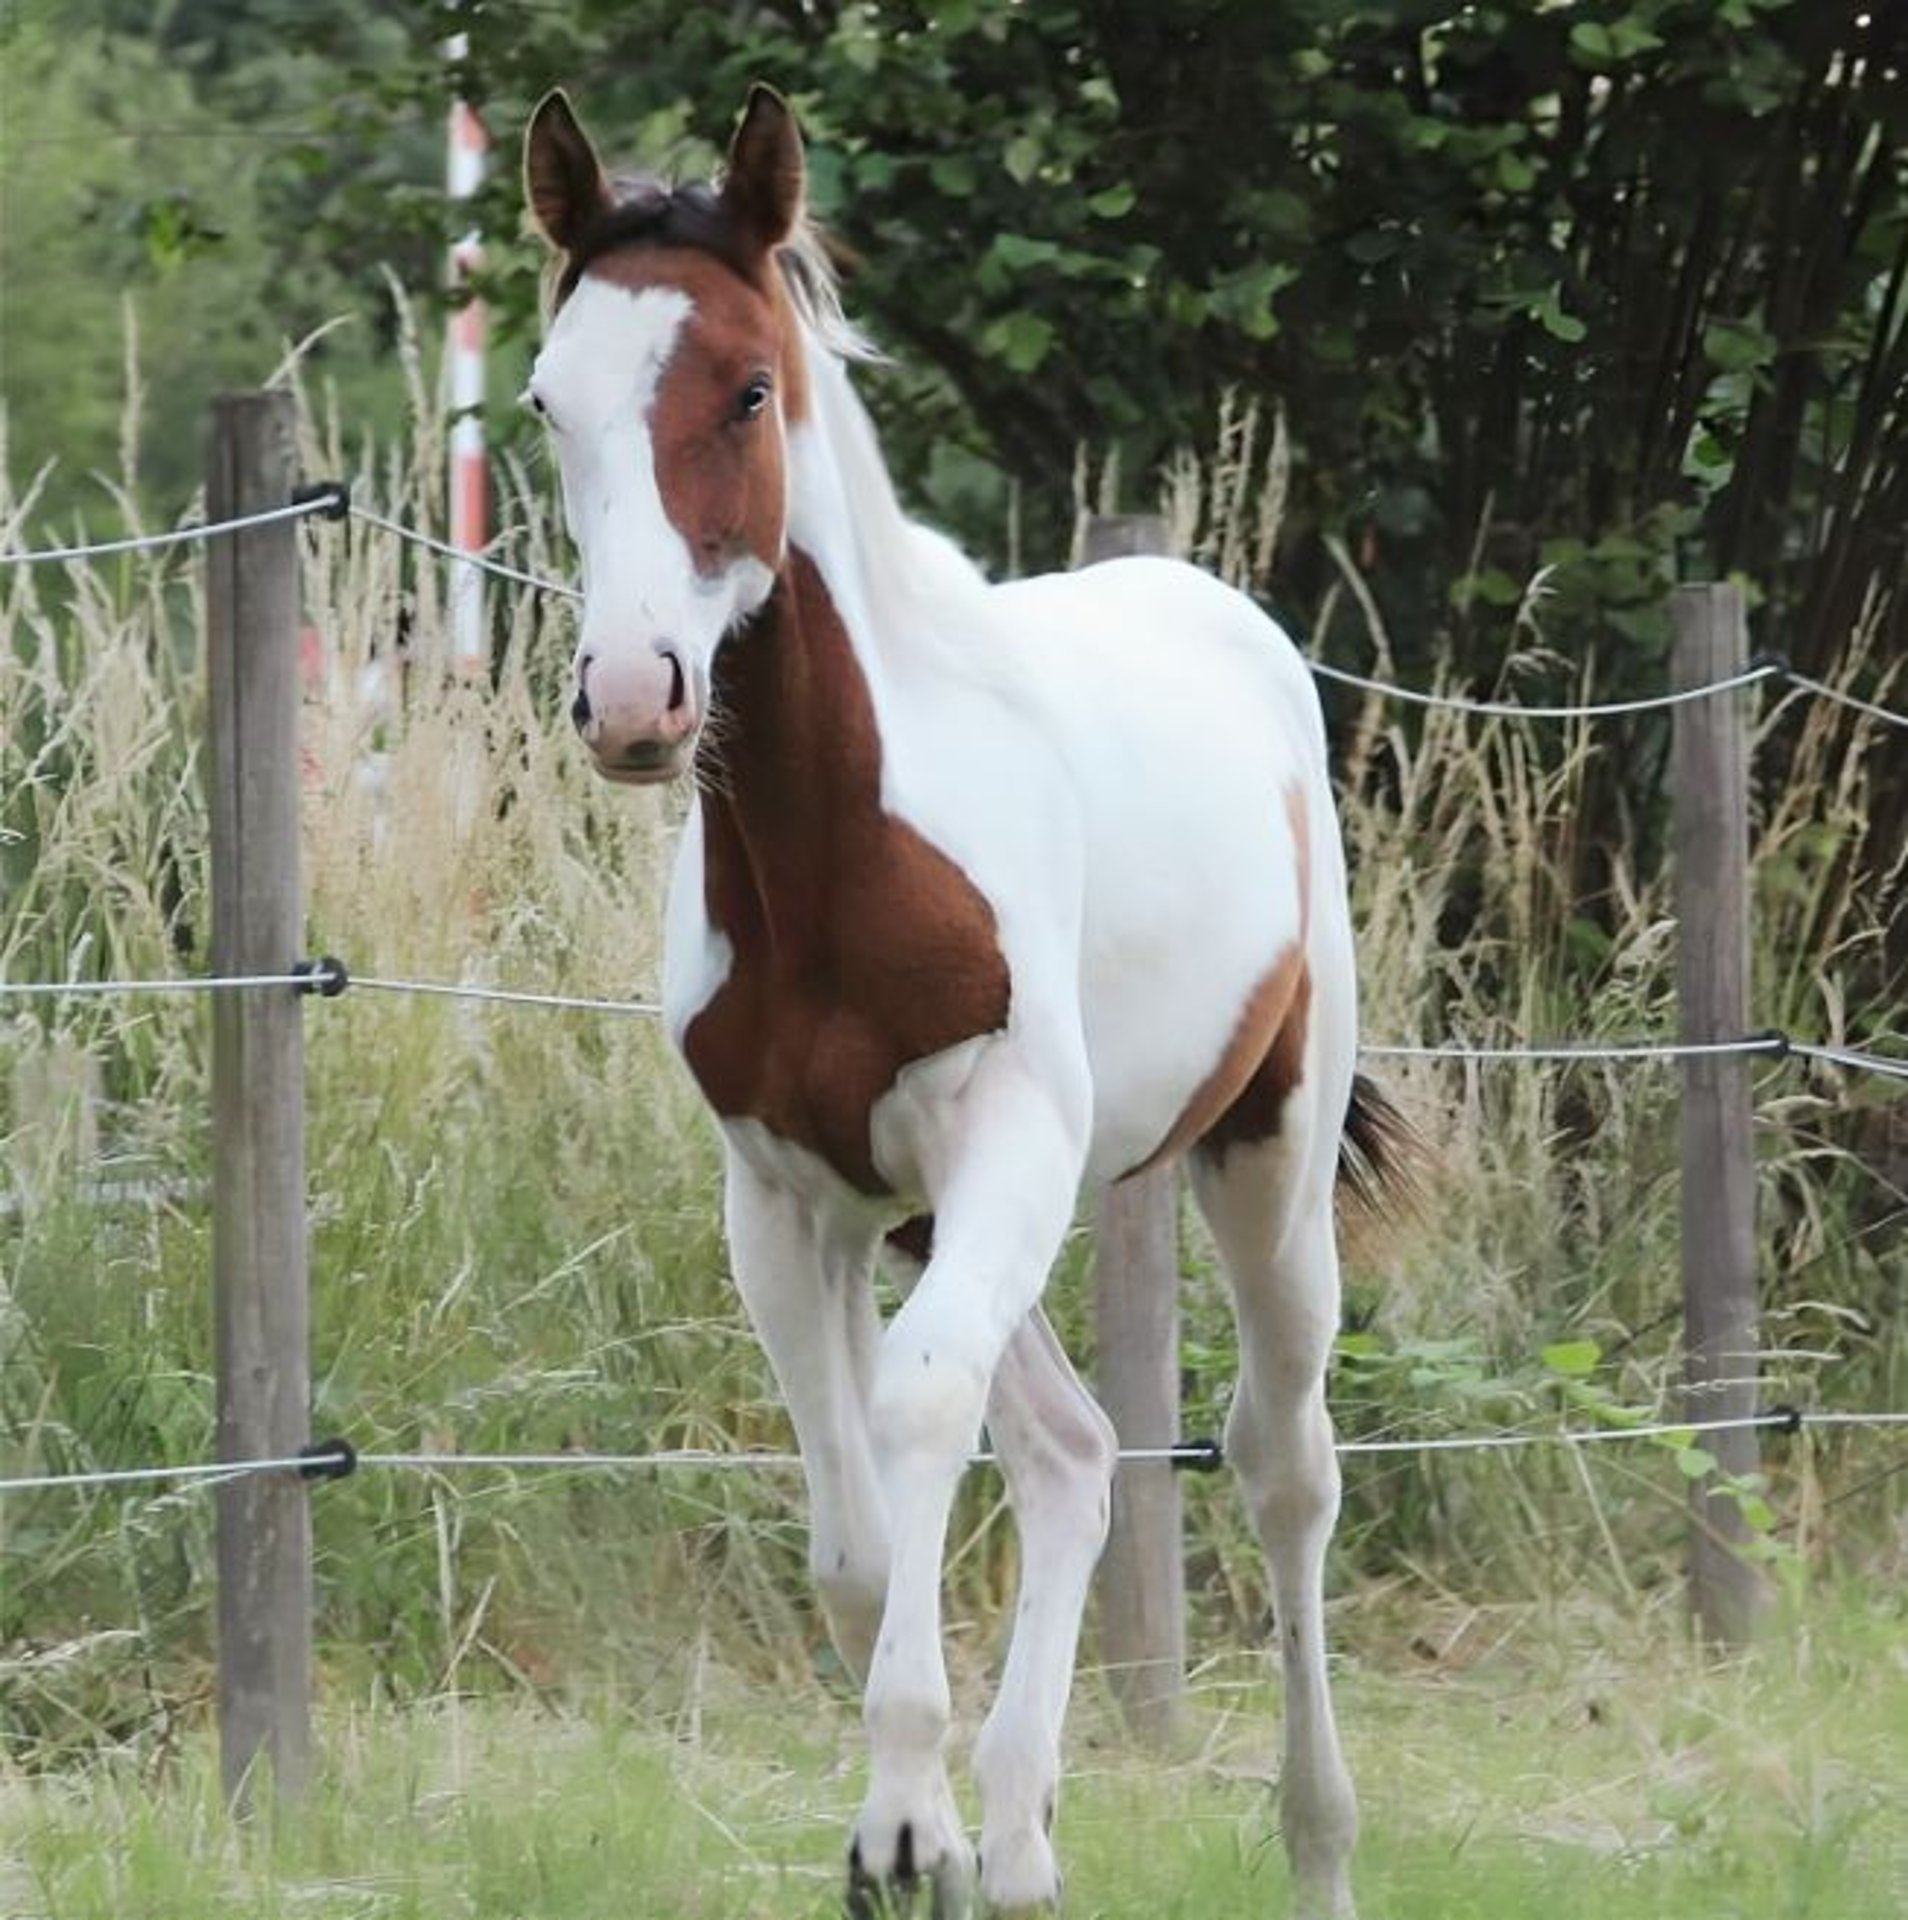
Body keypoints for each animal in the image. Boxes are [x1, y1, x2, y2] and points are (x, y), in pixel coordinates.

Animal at [523, 85, 1405, 1920]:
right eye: (546, 401)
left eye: (748, 386)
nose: (634, 700)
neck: (838, 853)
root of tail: (1223, 613)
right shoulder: (790, 1198)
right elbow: (859, 1536)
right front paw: (923, 1829)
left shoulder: (1004, 1134)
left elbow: (918, 1410)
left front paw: (901, 1827)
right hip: (947, 1213)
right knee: (1072, 1449)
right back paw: (1019, 1841)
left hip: (1265, 1160)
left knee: (1282, 1466)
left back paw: (1311, 1846)